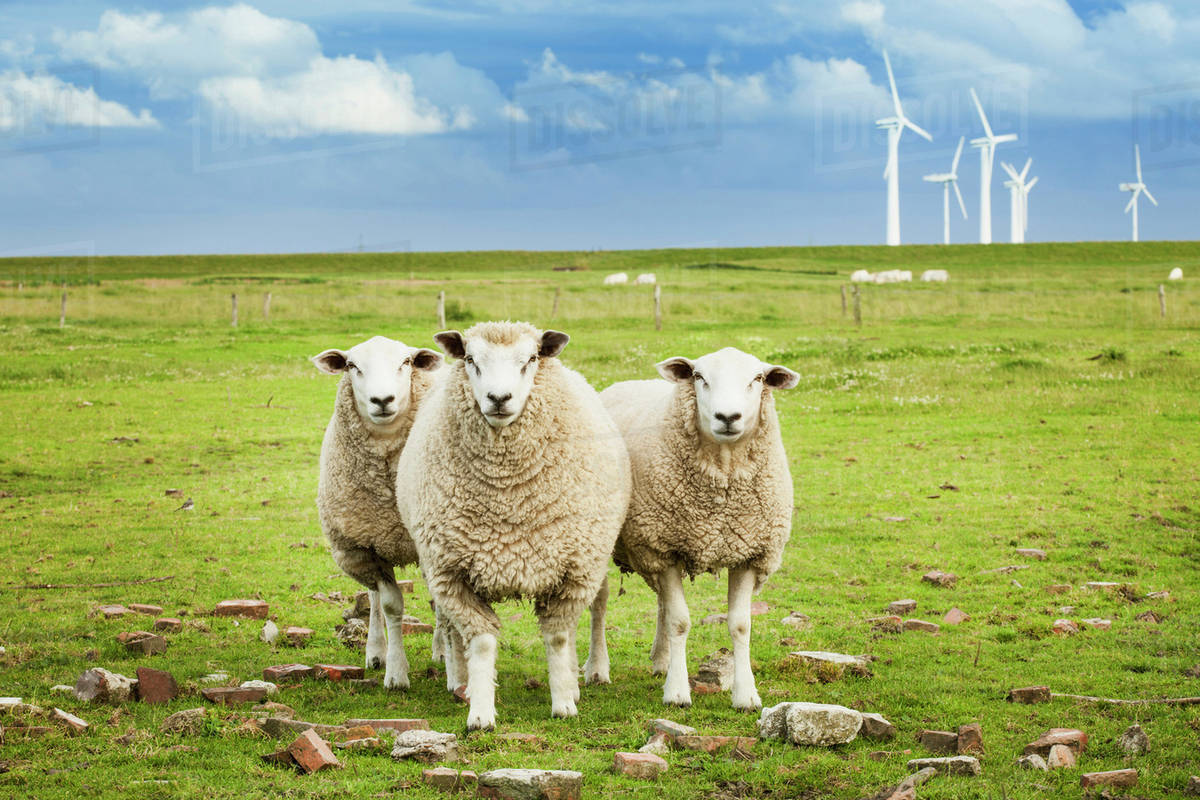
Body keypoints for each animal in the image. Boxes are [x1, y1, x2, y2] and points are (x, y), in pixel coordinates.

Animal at [312, 336, 443, 690]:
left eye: (406, 362)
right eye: (352, 366)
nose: (382, 400)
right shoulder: (363, 547)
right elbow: (390, 606)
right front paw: (396, 672)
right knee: (371, 598)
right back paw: (375, 652)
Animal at [396, 321, 631, 730]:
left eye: (531, 359)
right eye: (470, 359)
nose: (499, 398)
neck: (509, 498)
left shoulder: (574, 571)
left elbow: (558, 637)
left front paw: (563, 703)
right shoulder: (452, 575)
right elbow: (481, 641)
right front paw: (480, 712)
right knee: (453, 632)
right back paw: (462, 682)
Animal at [599, 347, 799, 711]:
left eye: (758, 378)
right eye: (699, 377)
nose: (728, 416)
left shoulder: (749, 553)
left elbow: (740, 625)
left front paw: (746, 695)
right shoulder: (662, 549)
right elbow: (680, 622)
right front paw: (677, 692)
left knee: (662, 603)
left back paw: (661, 660)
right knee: (600, 603)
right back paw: (597, 668)